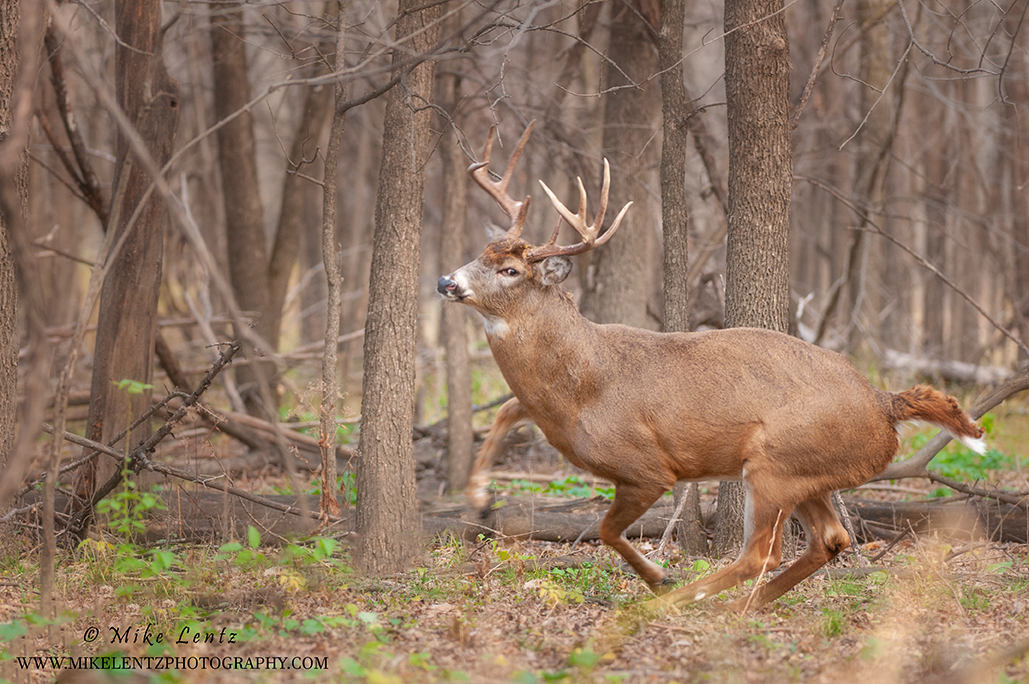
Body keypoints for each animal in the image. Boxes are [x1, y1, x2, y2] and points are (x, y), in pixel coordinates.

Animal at [437, 122, 986, 611]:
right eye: (479, 253)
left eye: (510, 270)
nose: (446, 280)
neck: (579, 388)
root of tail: (882, 402)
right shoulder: (543, 411)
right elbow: (506, 408)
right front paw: (477, 492)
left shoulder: (646, 467)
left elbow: (607, 528)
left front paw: (659, 576)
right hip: (808, 472)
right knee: (830, 539)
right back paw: (744, 605)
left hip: (774, 463)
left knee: (761, 552)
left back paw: (676, 603)